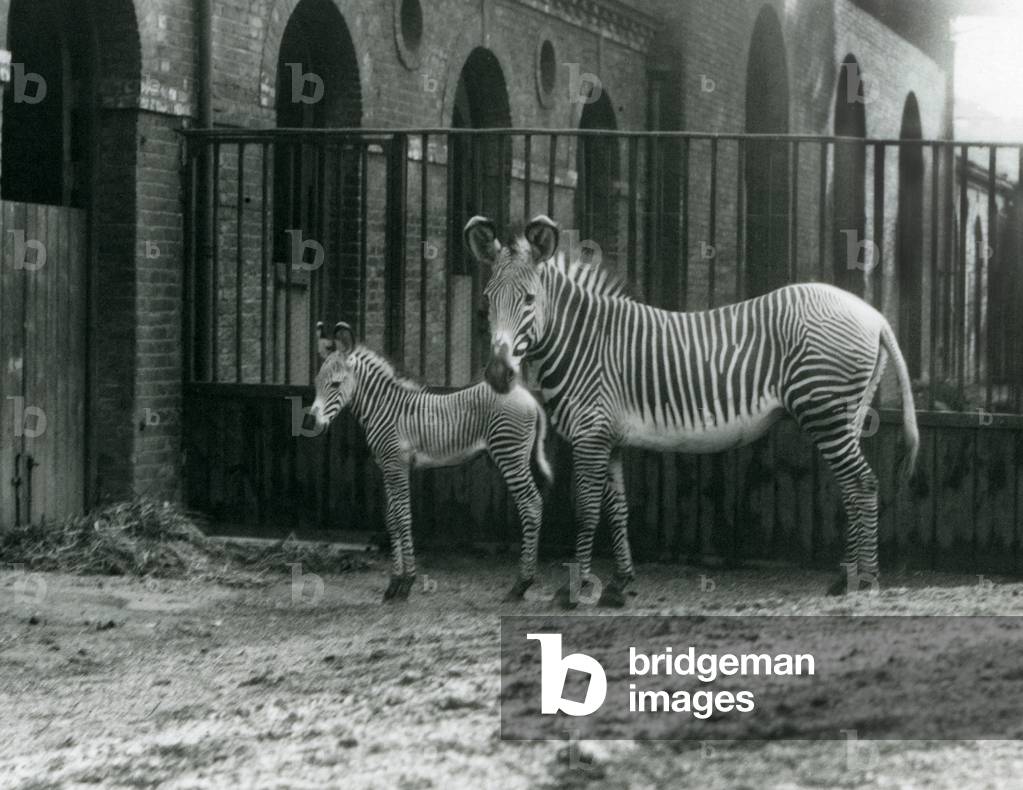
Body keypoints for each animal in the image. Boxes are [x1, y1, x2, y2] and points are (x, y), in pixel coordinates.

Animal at [308, 321, 552, 602]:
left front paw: (406, 584)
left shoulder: (397, 465)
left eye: (336, 384)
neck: (384, 409)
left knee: (531, 505)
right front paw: (393, 584)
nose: (310, 423)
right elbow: (391, 519)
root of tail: (527, 396)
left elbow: (403, 517)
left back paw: (521, 584)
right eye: (317, 383)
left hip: (510, 454)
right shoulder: (388, 467)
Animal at [465, 214, 919, 606]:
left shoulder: (590, 435)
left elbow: (588, 510)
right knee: (853, 488)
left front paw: (573, 591)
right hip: (847, 415)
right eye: (485, 303)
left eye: (529, 299)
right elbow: (617, 510)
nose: (499, 375)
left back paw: (866, 580)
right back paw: (846, 577)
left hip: (826, 413)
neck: (583, 341)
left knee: (863, 484)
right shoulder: (608, 438)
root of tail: (873, 315)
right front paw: (621, 584)